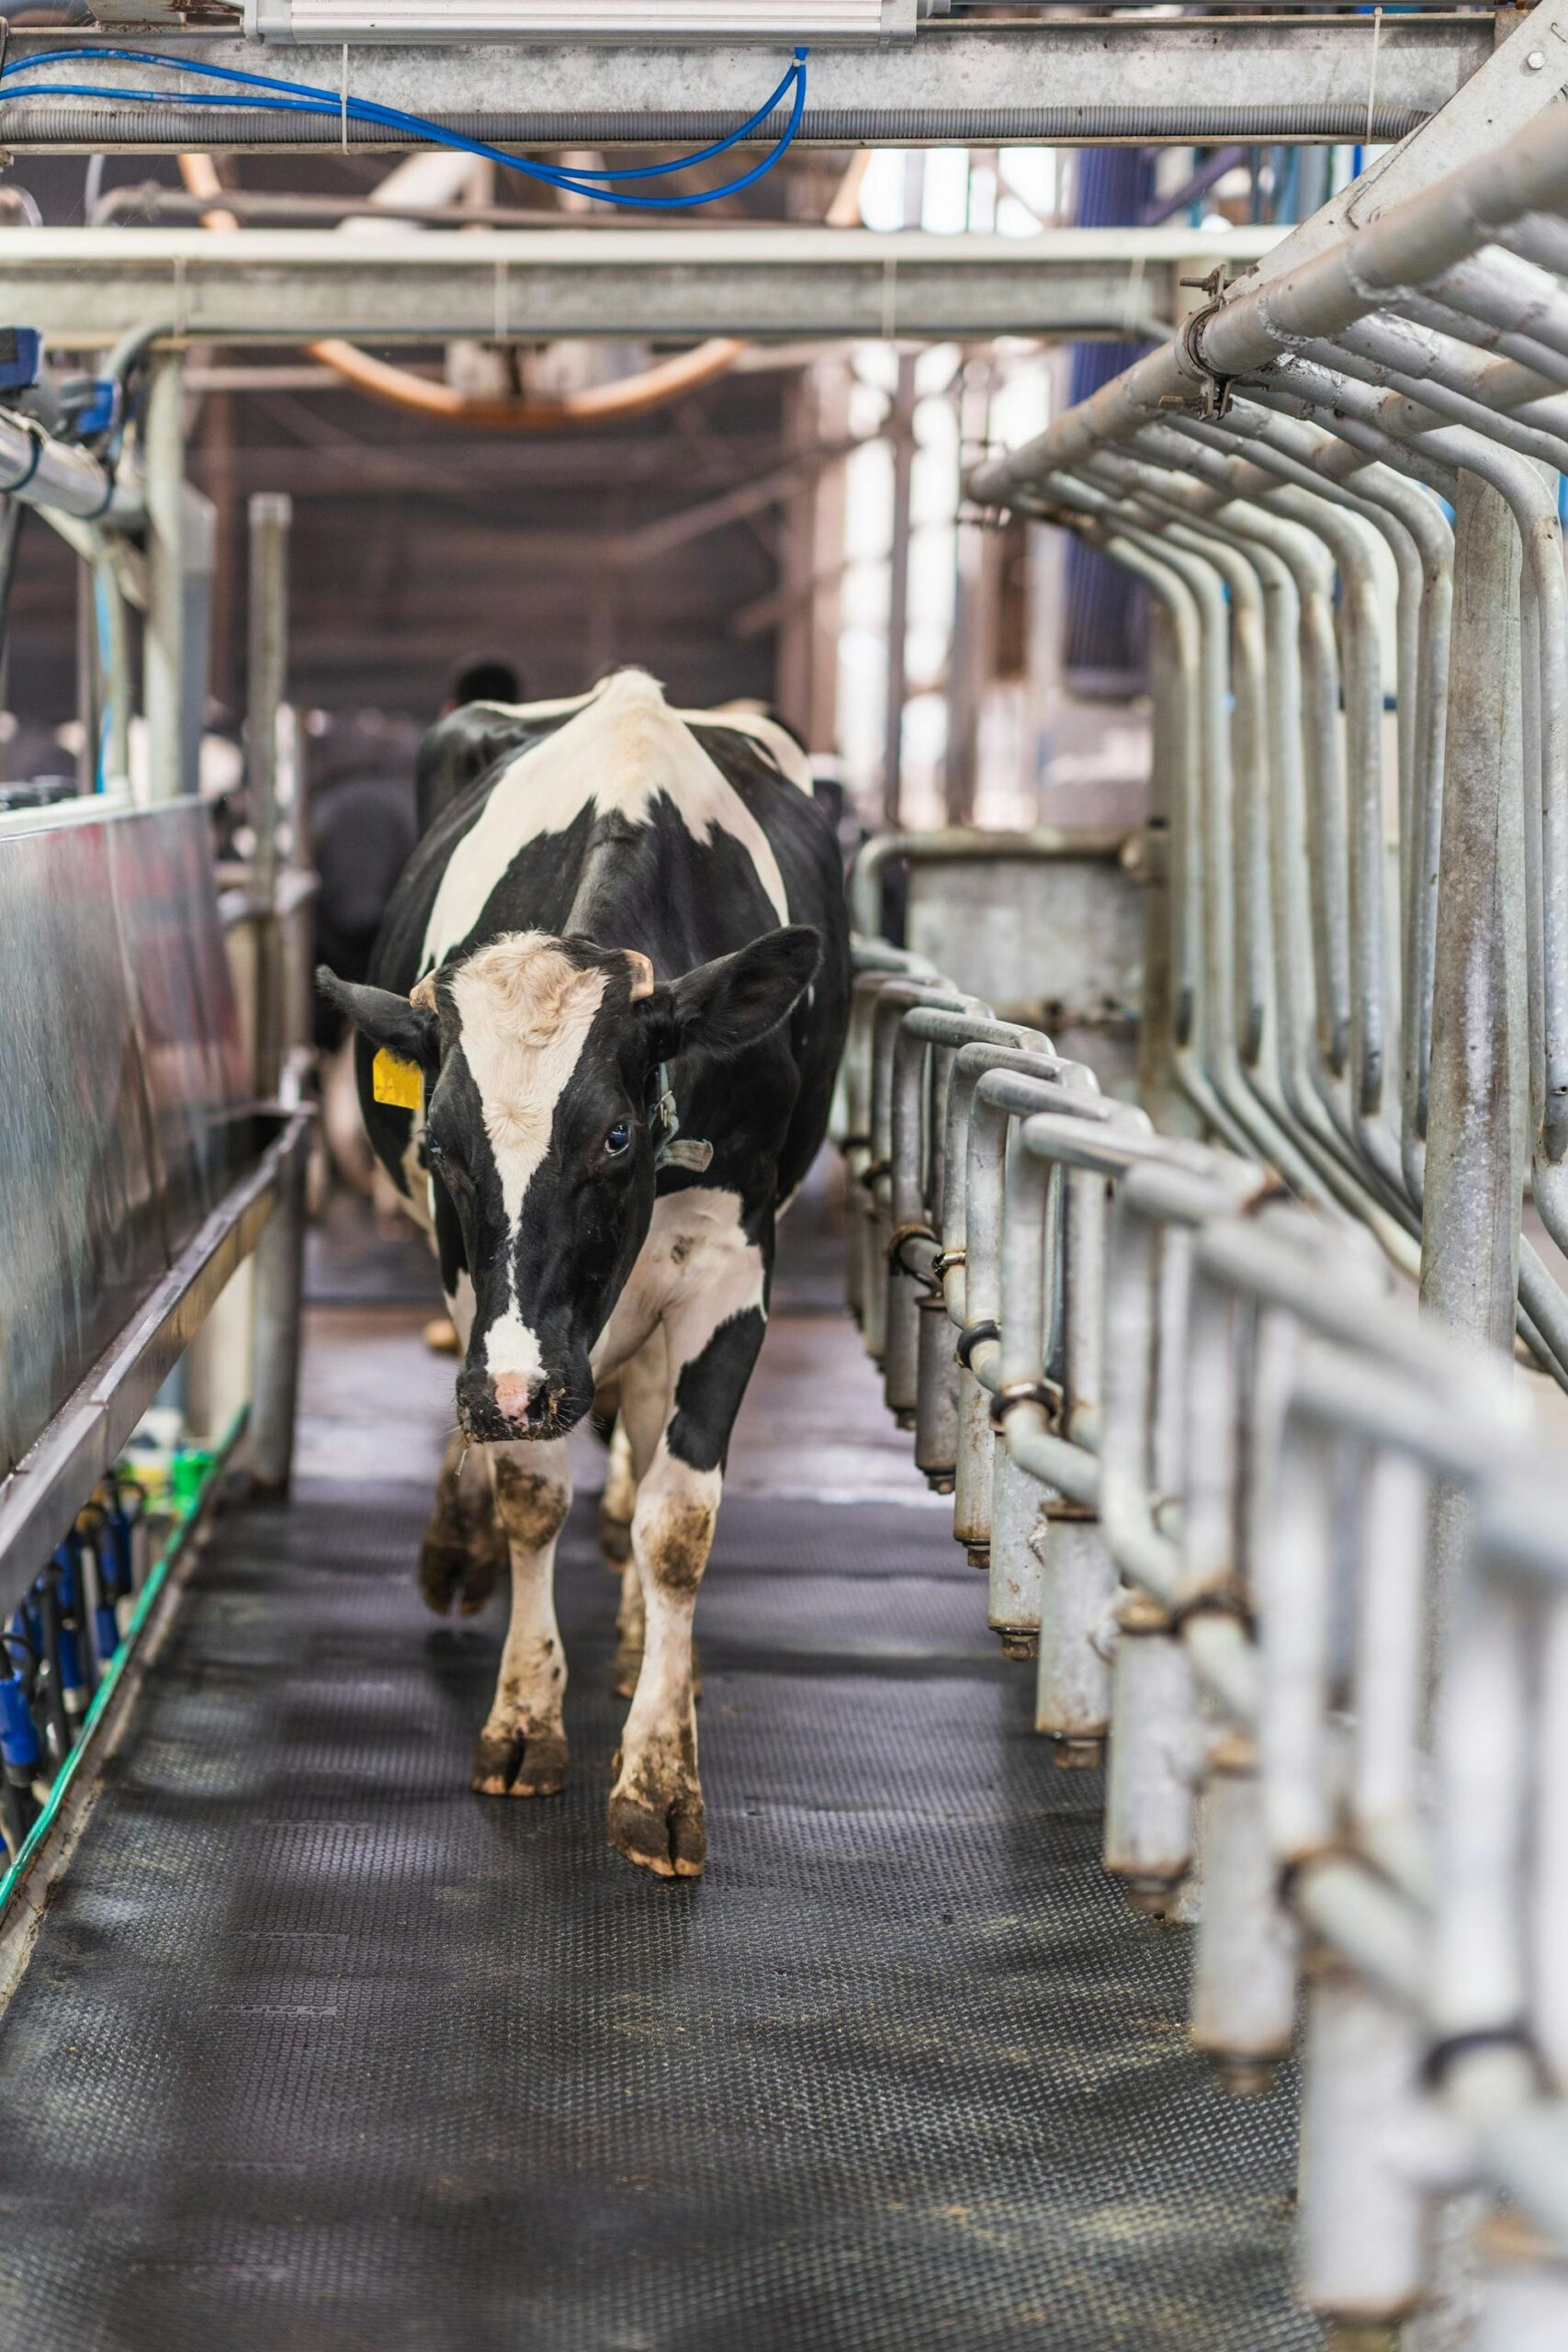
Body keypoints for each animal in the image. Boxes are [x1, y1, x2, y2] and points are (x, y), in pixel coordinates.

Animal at [318, 668, 850, 1880]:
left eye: (615, 1134)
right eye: (439, 1147)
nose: (519, 1387)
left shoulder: (732, 1271)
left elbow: (679, 1521)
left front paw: (661, 1771)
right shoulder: (479, 1293)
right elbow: (530, 1491)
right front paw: (524, 1718)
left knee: (644, 1434)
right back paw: (462, 1544)